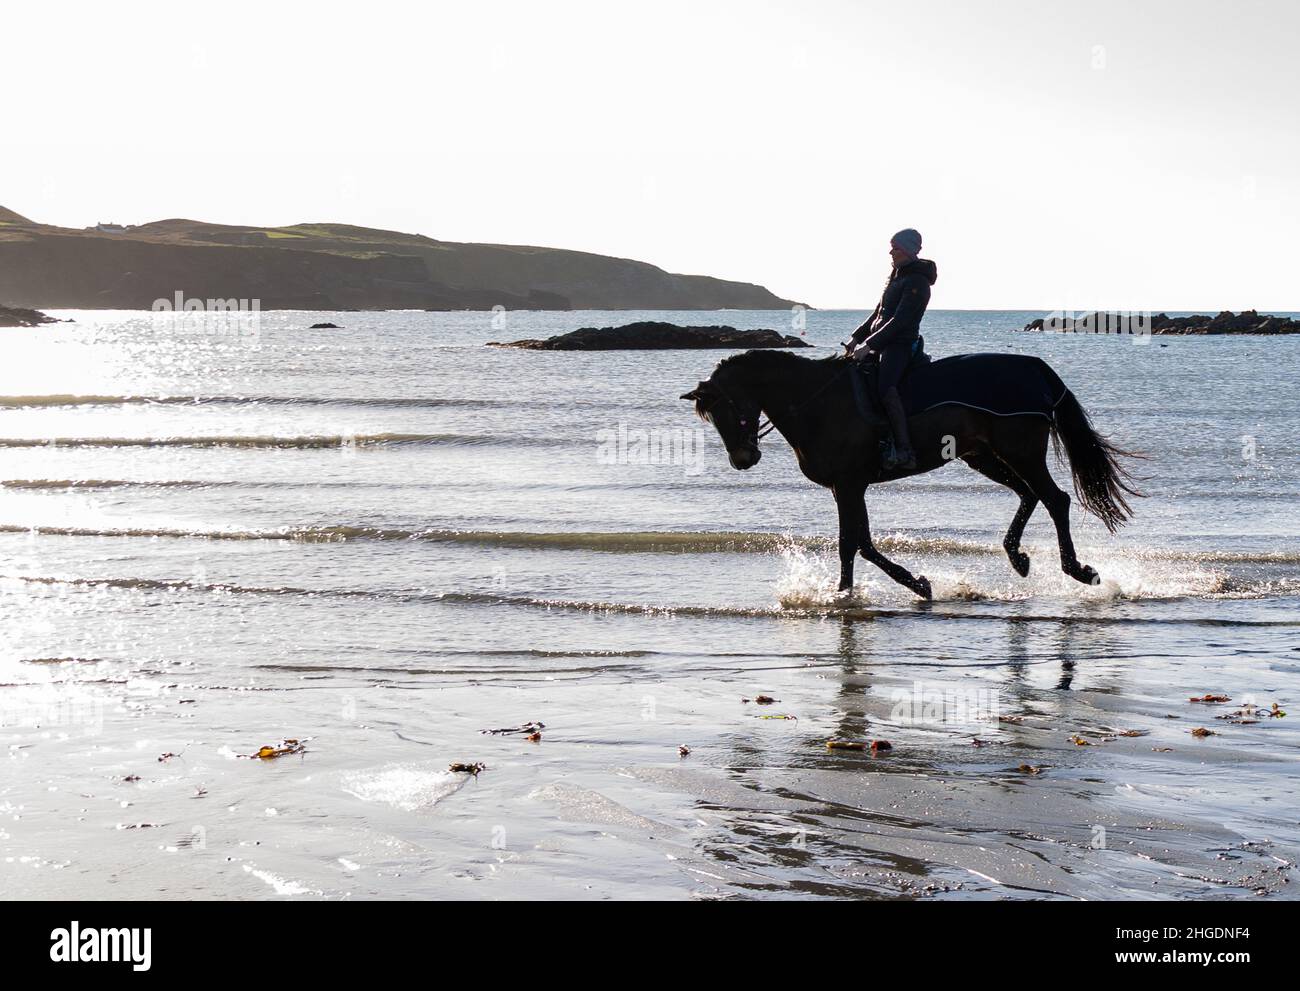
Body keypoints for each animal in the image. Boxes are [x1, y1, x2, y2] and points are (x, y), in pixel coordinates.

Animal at [681, 350, 1141, 599]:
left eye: (727, 409)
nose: (742, 459)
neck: (818, 402)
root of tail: (1035, 368)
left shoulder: (850, 484)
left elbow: (851, 544)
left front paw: (853, 593)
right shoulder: (846, 488)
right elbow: (861, 543)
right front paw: (908, 584)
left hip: (1020, 451)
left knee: (1053, 498)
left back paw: (1078, 569)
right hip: (983, 456)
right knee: (1028, 495)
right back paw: (1018, 557)